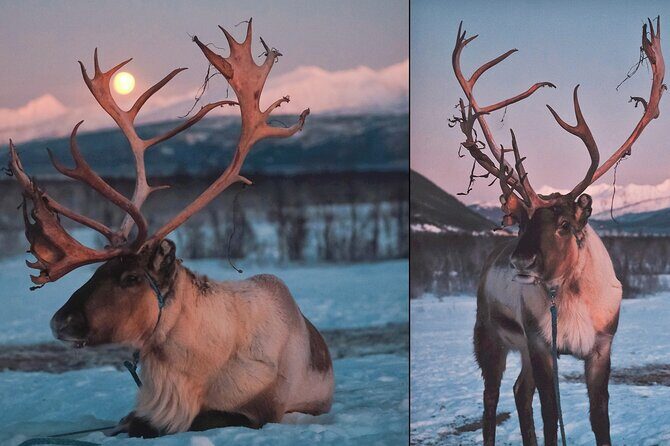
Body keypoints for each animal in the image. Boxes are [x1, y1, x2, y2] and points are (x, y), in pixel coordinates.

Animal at [7, 19, 333, 438]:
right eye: (97, 271)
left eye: (131, 278)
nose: (58, 322)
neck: (189, 368)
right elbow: (126, 422)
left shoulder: (258, 411)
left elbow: (199, 419)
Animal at [450, 18, 665, 446]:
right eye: (523, 222)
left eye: (564, 225)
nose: (521, 259)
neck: (570, 296)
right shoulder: (541, 345)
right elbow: (551, 417)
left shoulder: (600, 348)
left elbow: (600, 419)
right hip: (489, 337)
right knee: (491, 399)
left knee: (519, 392)